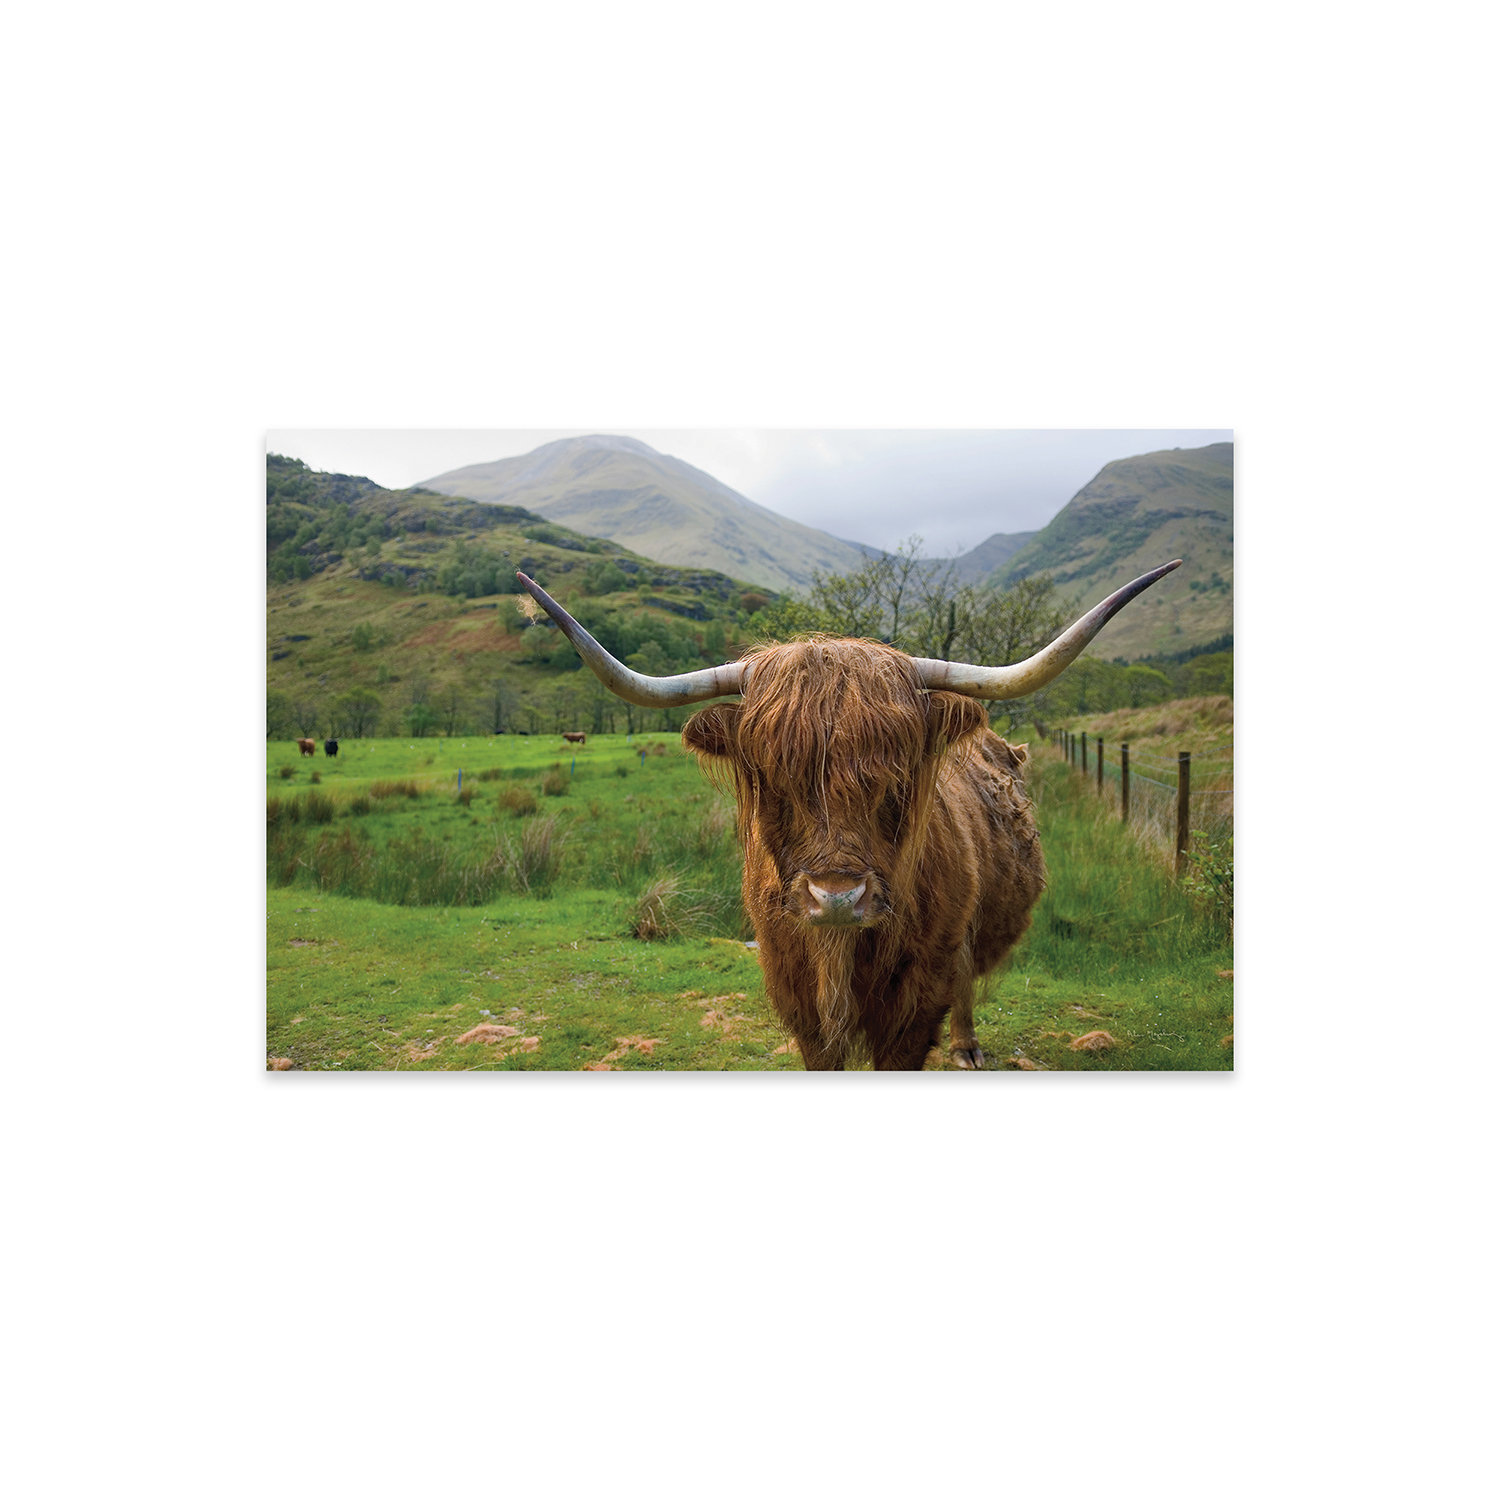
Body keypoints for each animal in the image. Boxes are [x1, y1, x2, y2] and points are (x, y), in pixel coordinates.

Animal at [516, 562, 1180, 1070]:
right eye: (772, 776)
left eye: (896, 776)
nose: (836, 897)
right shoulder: (799, 1003)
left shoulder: (914, 1008)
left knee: (966, 978)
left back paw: (967, 1048)